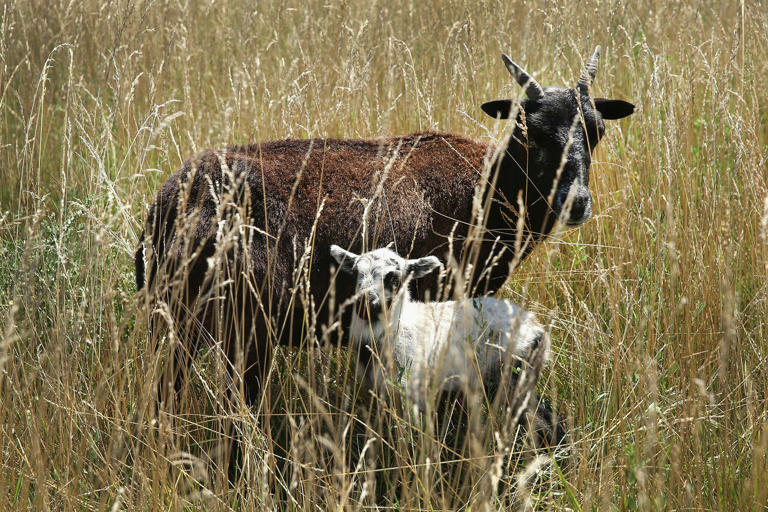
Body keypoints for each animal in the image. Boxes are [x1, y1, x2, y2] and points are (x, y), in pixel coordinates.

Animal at [136, 46, 634, 404]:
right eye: (529, 132)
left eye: (596, 131)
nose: (576, 202)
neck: (488, 189)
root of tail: (170, 199)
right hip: (226, 322)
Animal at [330, 244, 565, 447]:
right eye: (356, 274)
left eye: (394, 278)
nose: (365, 304)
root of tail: (538, 331)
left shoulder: (410, 389)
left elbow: (408, 434)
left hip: (514, 372)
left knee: (544, 421)